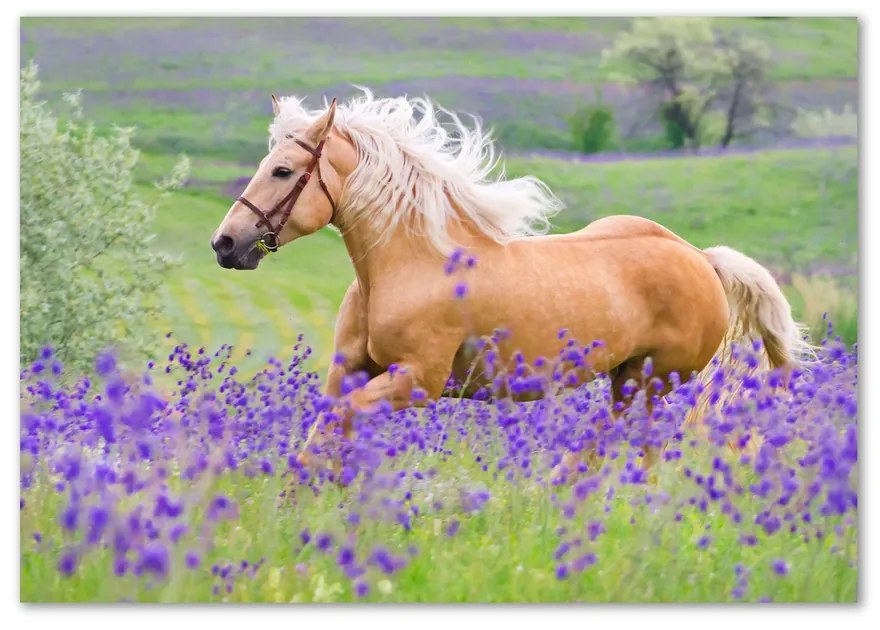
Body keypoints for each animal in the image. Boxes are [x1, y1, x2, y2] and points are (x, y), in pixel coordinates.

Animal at [211, 91, 812, 476]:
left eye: (283, 171)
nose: (226, 244)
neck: (410, 264)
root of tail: (700, 258)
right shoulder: (353, 372)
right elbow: (321, 437)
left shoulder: (417, 381)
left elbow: (338, 427)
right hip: (627, 379)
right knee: (618, 444)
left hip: (653, 381)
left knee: (630, 446)